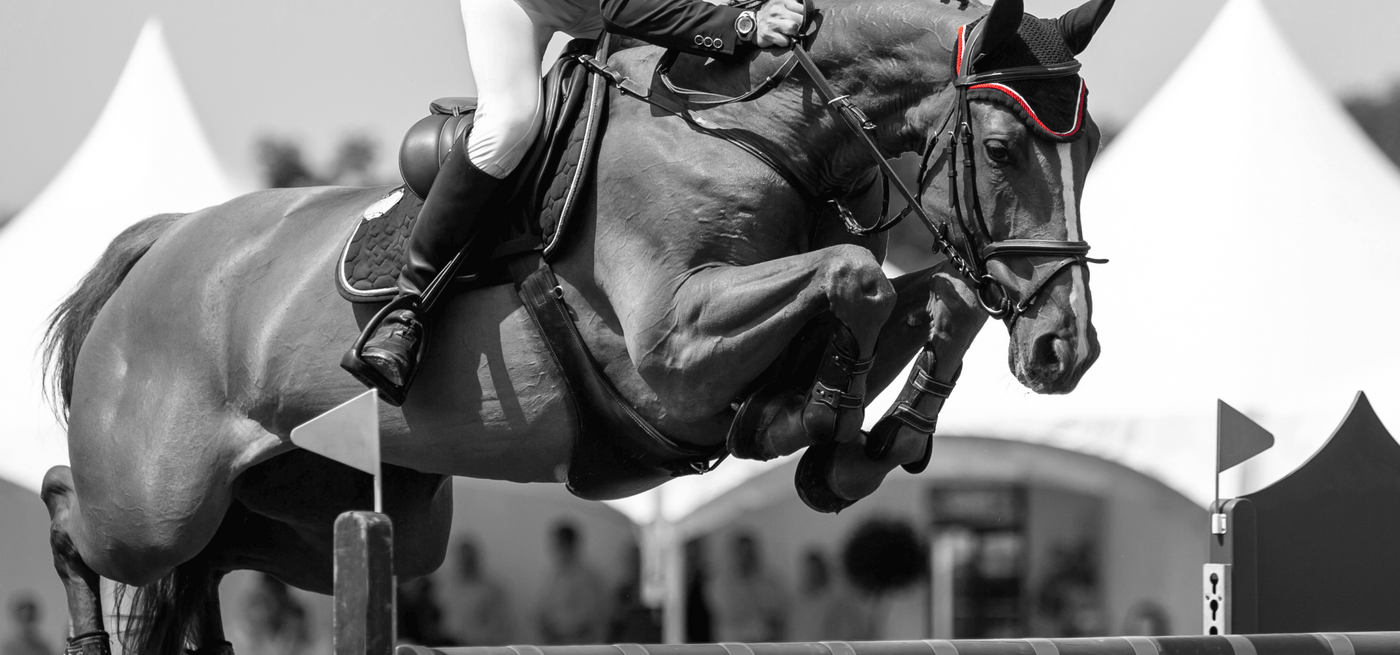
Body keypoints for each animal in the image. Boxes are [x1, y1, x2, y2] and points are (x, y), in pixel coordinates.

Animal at [39, 0, 1109, 651]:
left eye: (1091, 145)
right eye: (1002, 148)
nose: (1067, 349)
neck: (768, 130)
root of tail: (166, 240)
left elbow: (938, 297)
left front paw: (858, 445)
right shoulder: (671, 346)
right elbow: (857, 278)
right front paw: (819, 421)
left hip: (357, 509)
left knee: (217, 555)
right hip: (153, 500)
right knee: (74, 508)